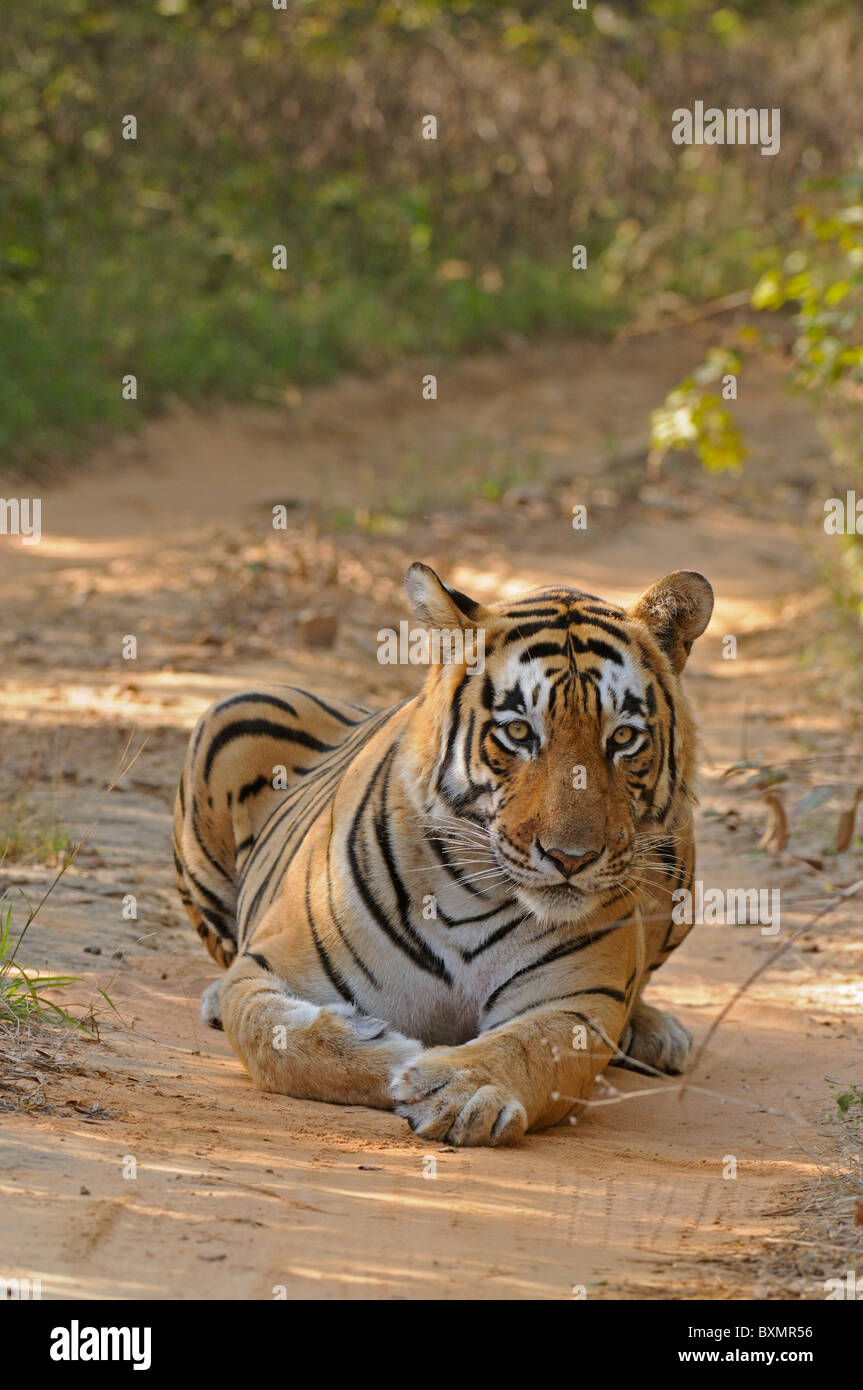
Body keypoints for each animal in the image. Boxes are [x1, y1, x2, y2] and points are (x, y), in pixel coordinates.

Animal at [173, 562, 713, 1147]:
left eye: (623, 738)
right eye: (518, 731)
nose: (572, 858)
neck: (473, 895)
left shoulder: (576, 1000)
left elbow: (529, 1044)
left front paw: (461, 1090)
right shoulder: (267, 967)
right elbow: (276, 1041)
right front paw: (391, 1052)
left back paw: (654, 1033)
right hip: (227, 717)